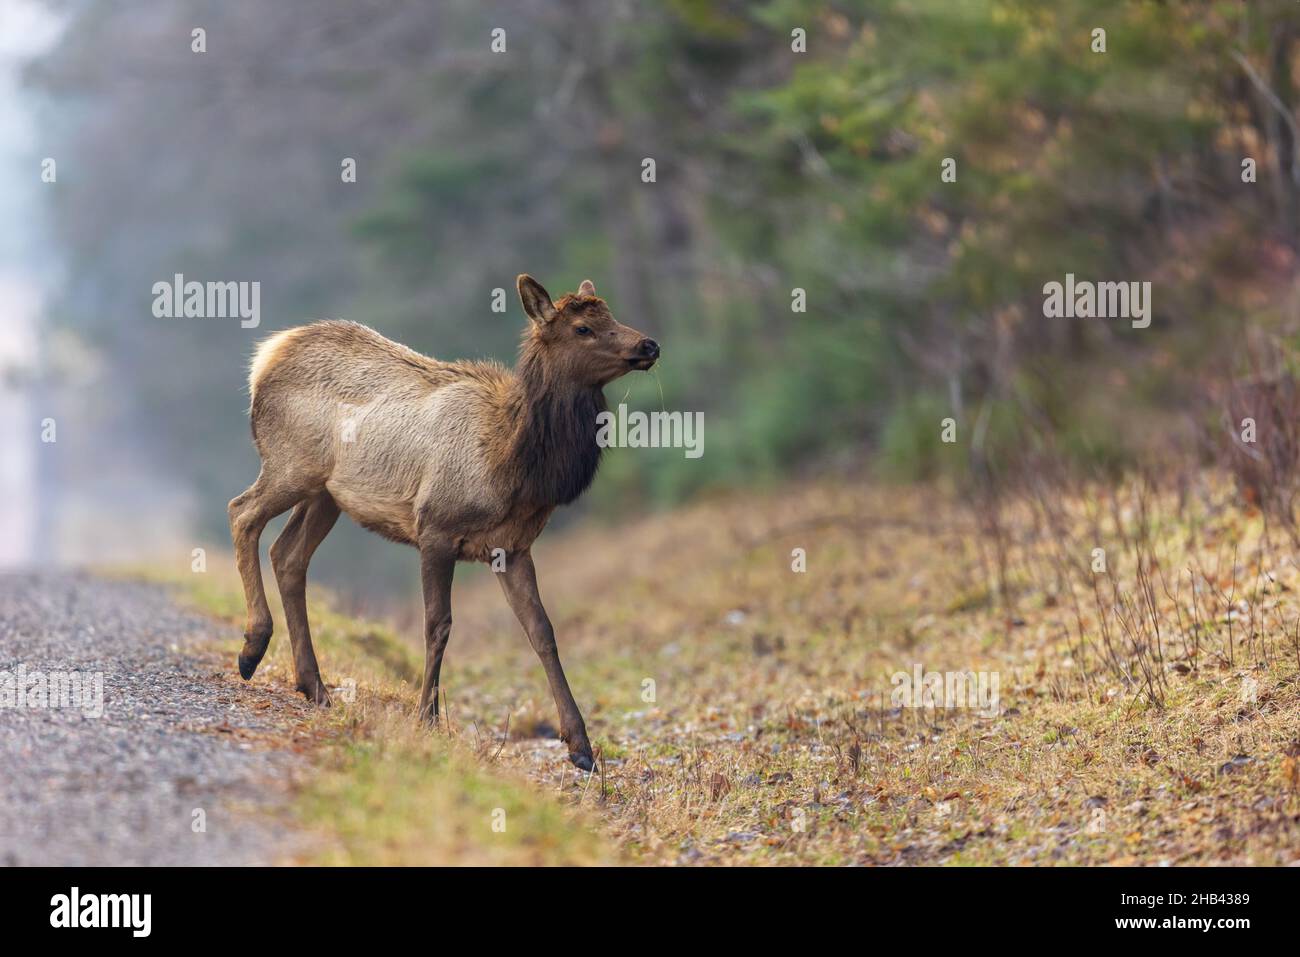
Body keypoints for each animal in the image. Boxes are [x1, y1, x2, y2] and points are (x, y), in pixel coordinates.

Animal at [228, 275, 659, 771]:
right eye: (583, 328)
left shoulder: (513, 547)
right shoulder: (435, 527)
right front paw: (427, 719)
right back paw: (252, 648)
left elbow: (543, 632)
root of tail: (266, 357)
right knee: (242, 512)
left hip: (326, 494)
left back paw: (314, 686)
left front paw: (581, 746)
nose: (649, 344)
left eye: (611, 316)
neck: (512, 464)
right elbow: (438, 625)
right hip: (291, 464)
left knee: (288, 554)